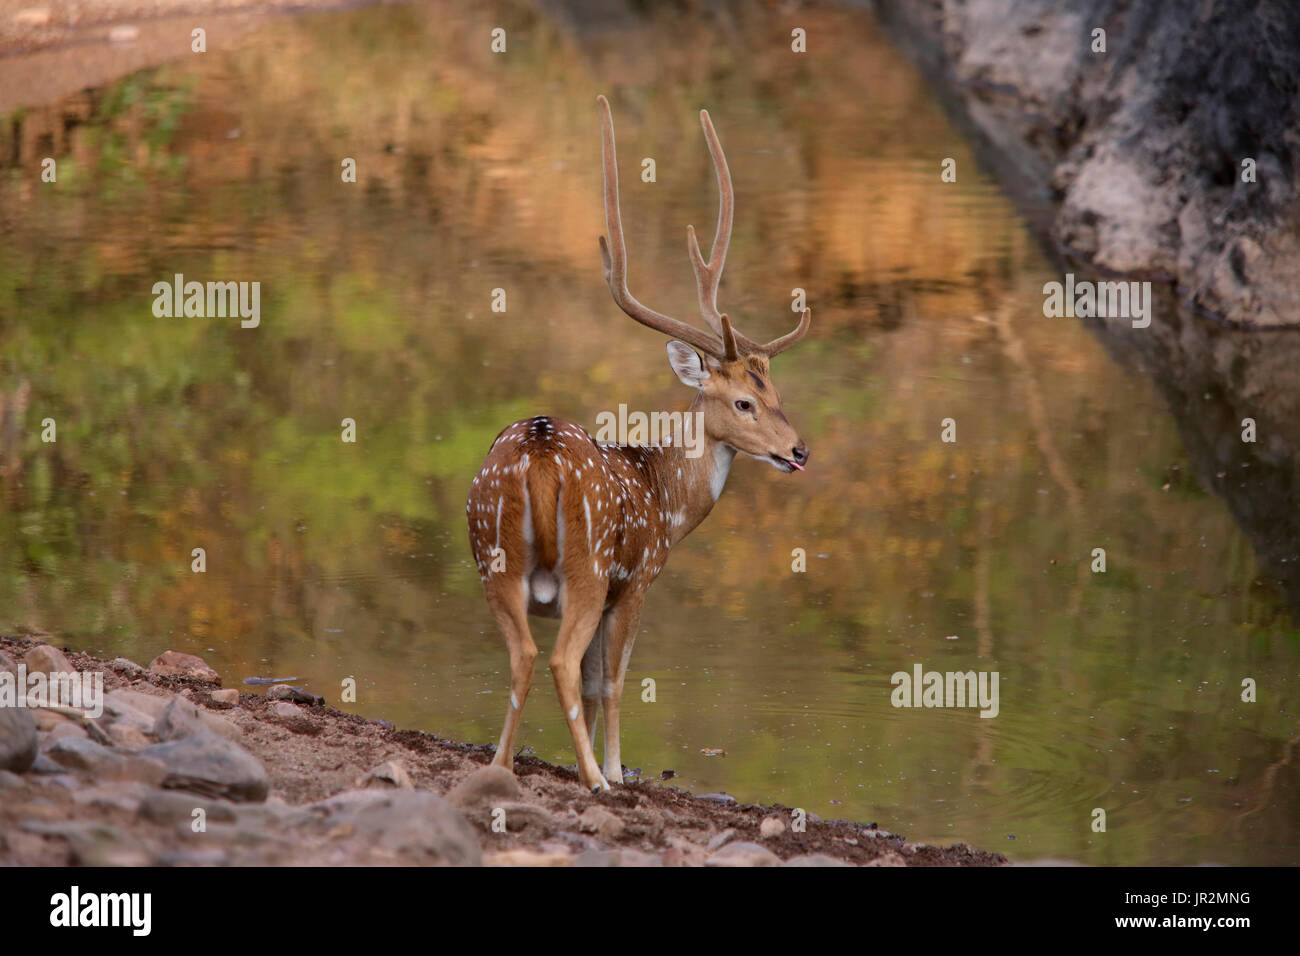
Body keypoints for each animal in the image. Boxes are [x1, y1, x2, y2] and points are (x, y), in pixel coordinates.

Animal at [466, 95, 811, 791]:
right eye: (744, 402)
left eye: (777, 394)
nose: (798, 451)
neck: (665, 499)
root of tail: (539, 455)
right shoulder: (638, 580)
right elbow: (611, 681)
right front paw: (616, 769)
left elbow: (594, 682)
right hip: (588, 566)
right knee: (559, 661)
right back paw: (595, 780)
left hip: (495, 556)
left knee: (522, 656)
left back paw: (501, 764)